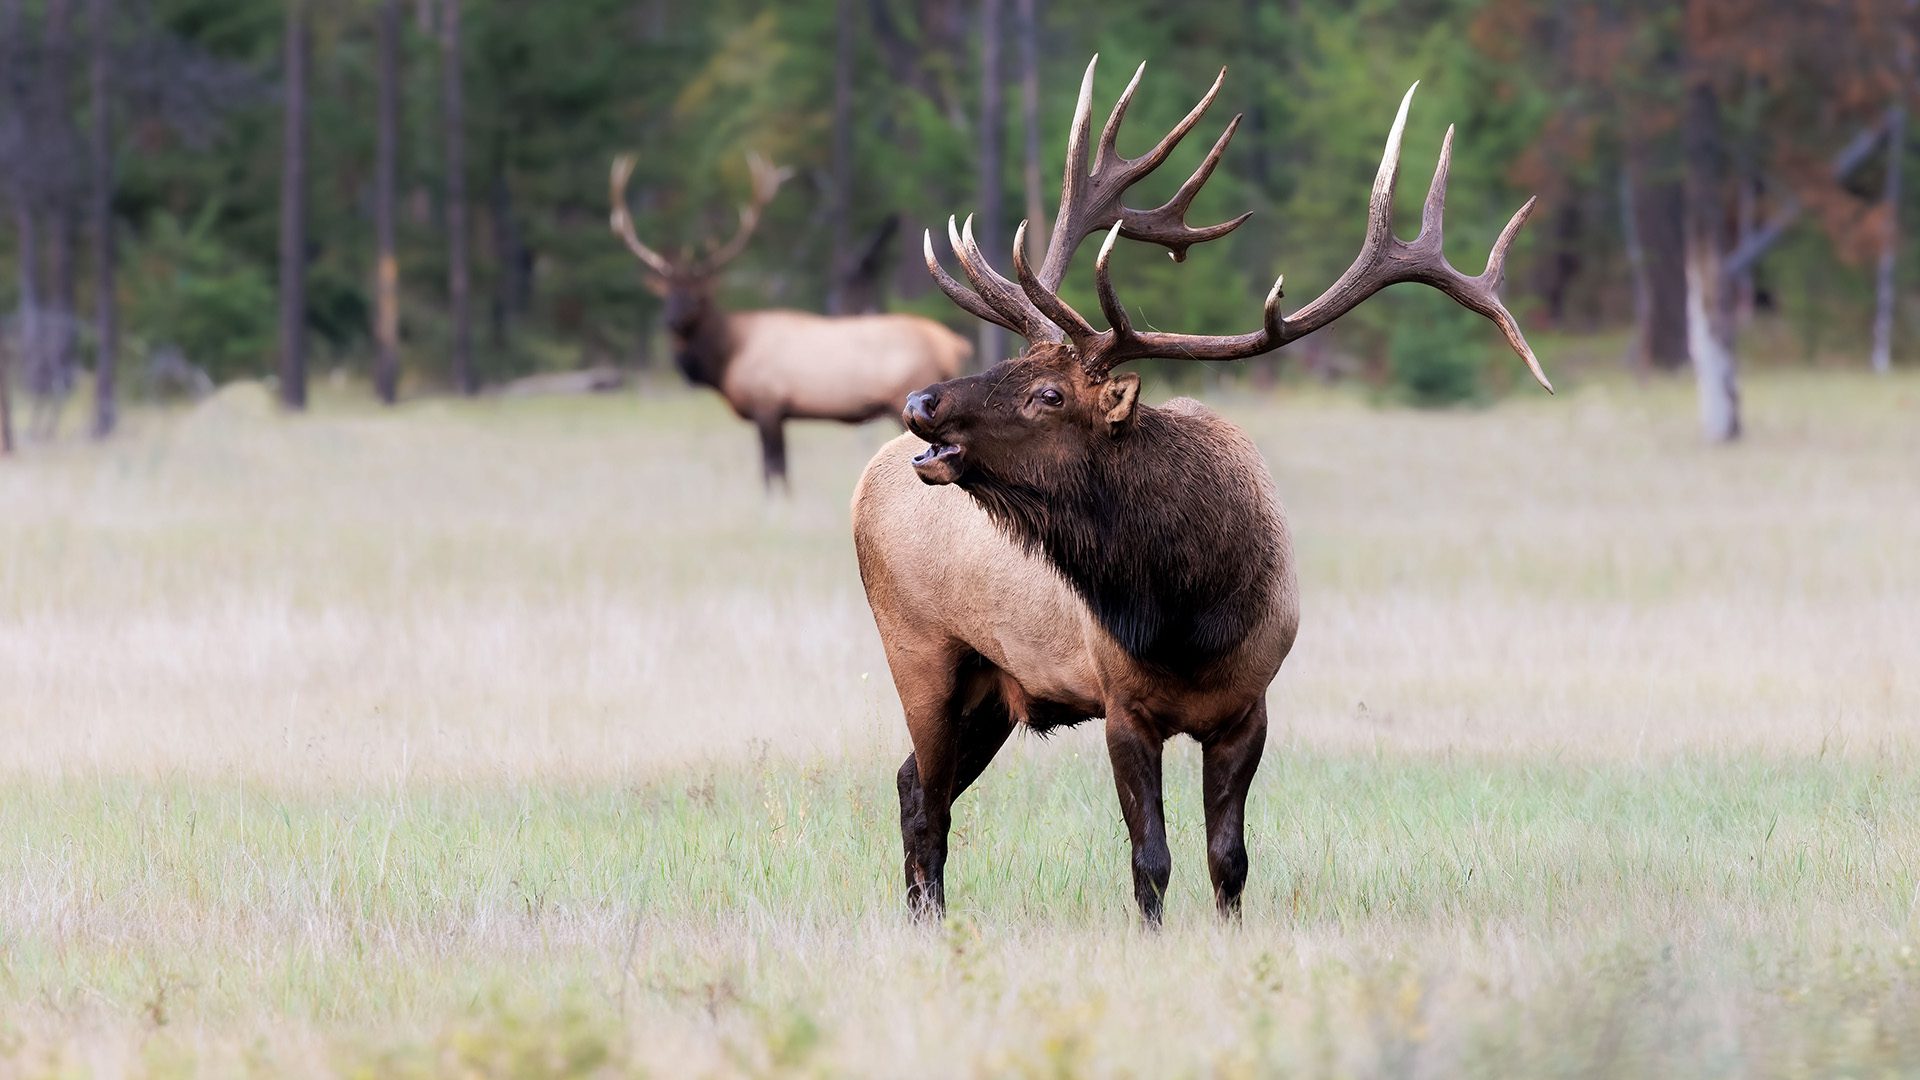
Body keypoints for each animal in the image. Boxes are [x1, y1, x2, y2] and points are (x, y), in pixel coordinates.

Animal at [611, 154, 972, 491]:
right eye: (667, 293)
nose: (673, 321)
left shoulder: (768, 406)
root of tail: (954, 343)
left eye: (699, 295)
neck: (728, 354)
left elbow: (774, 473)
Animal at [852, 58, 1553, 924]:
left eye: (1048, 393)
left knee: (915, 784)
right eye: (1014, 365)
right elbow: (1150, 858)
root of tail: (868, 475)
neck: (1188, 609)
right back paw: (929, 921)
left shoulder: (1249, 706)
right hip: (920, 649)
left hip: (989, 687)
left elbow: (1230, 858)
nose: (921, 403)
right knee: (927, 798)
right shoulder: (1122, 705)